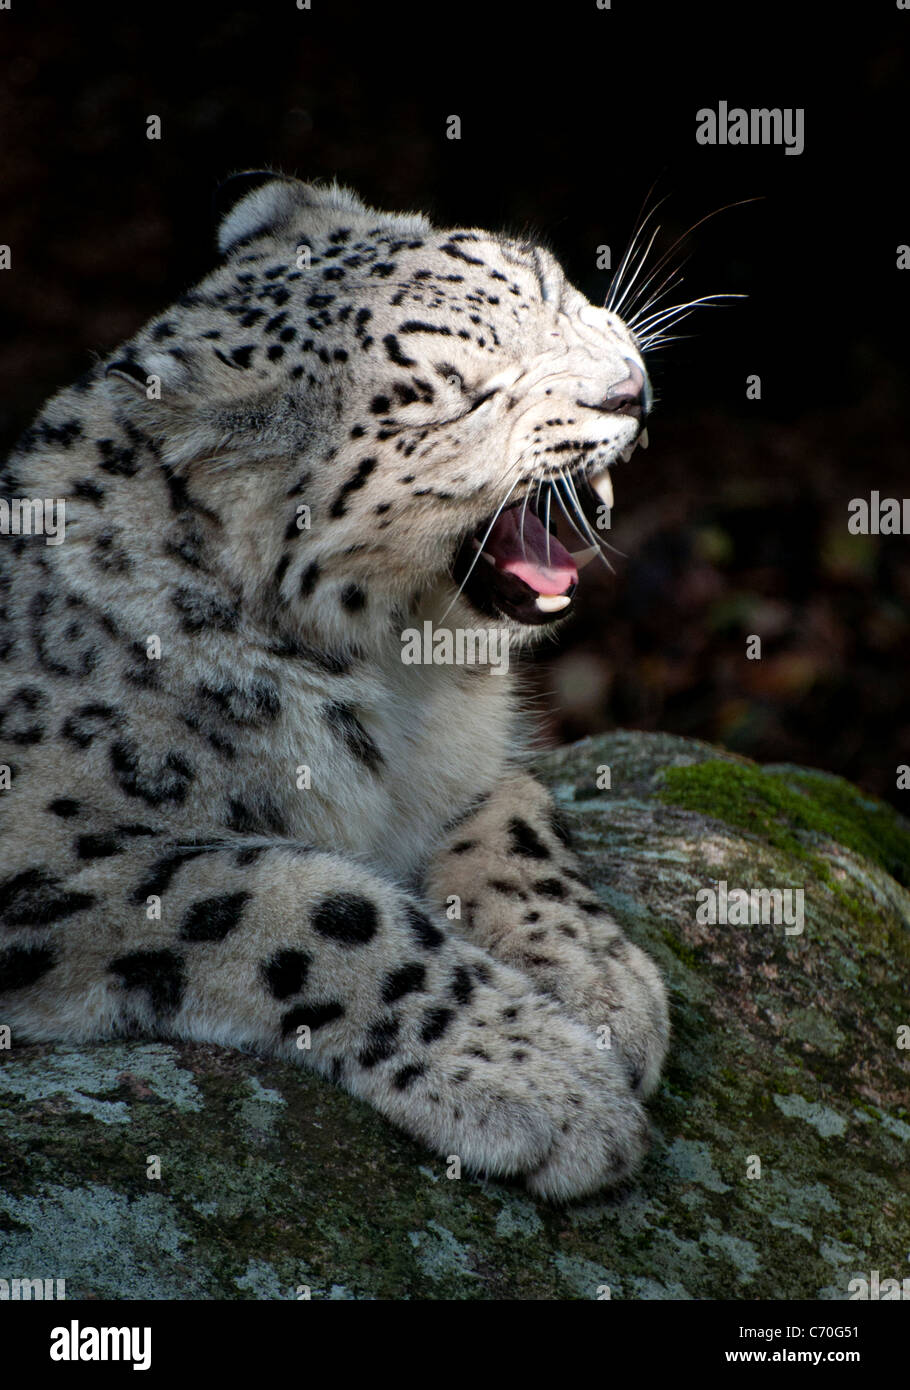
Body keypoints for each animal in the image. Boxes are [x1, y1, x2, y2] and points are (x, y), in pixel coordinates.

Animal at [0, 173, 668, 1201]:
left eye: (548, 284)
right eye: (461, 397)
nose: (629, 391)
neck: (403, 686)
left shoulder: (468, 766)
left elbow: (516, 813)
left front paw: (598, 982)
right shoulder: (51, 856)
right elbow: (310, 901)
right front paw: (547, 1083)